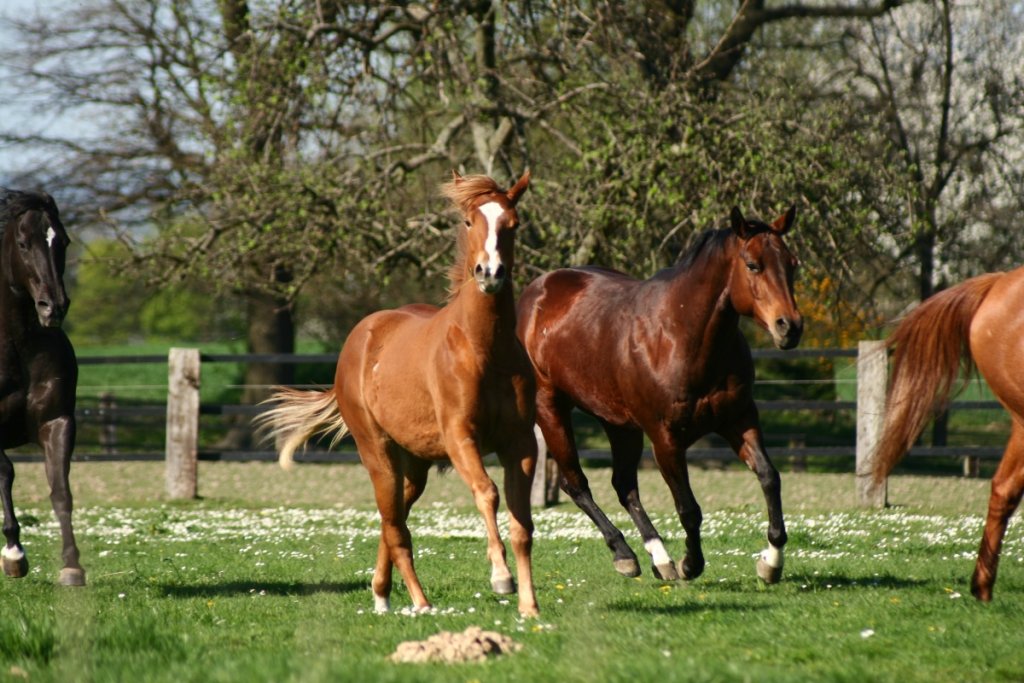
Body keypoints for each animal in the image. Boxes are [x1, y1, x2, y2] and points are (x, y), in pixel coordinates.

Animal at [256, 171, 539, 616]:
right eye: (468, 221)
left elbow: (522, 524)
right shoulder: (461, 438)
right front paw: (501, 577)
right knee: (396, 527)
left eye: (513, 223)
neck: (483, 348)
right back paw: (418, 602)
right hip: (378, 452)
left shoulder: (521, 444)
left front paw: (529, 607)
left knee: (392, 518)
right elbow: (488, 494)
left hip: (414, 466)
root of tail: (359, 338)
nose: (490, 274)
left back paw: (381, 592)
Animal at [516, 206, 801, 583]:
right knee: (576, 483)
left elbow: (770, 477)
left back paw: (658, 557)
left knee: (623, 485)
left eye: (792, 263)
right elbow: (688, 507)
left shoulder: (739, 419)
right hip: (551, 409)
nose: (790, 327)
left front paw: (771, 562)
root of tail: (536, 293)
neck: (680, 337)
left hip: (618, 423)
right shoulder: (665, 438)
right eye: (753, 264)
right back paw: (625, 555)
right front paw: (691, 564)